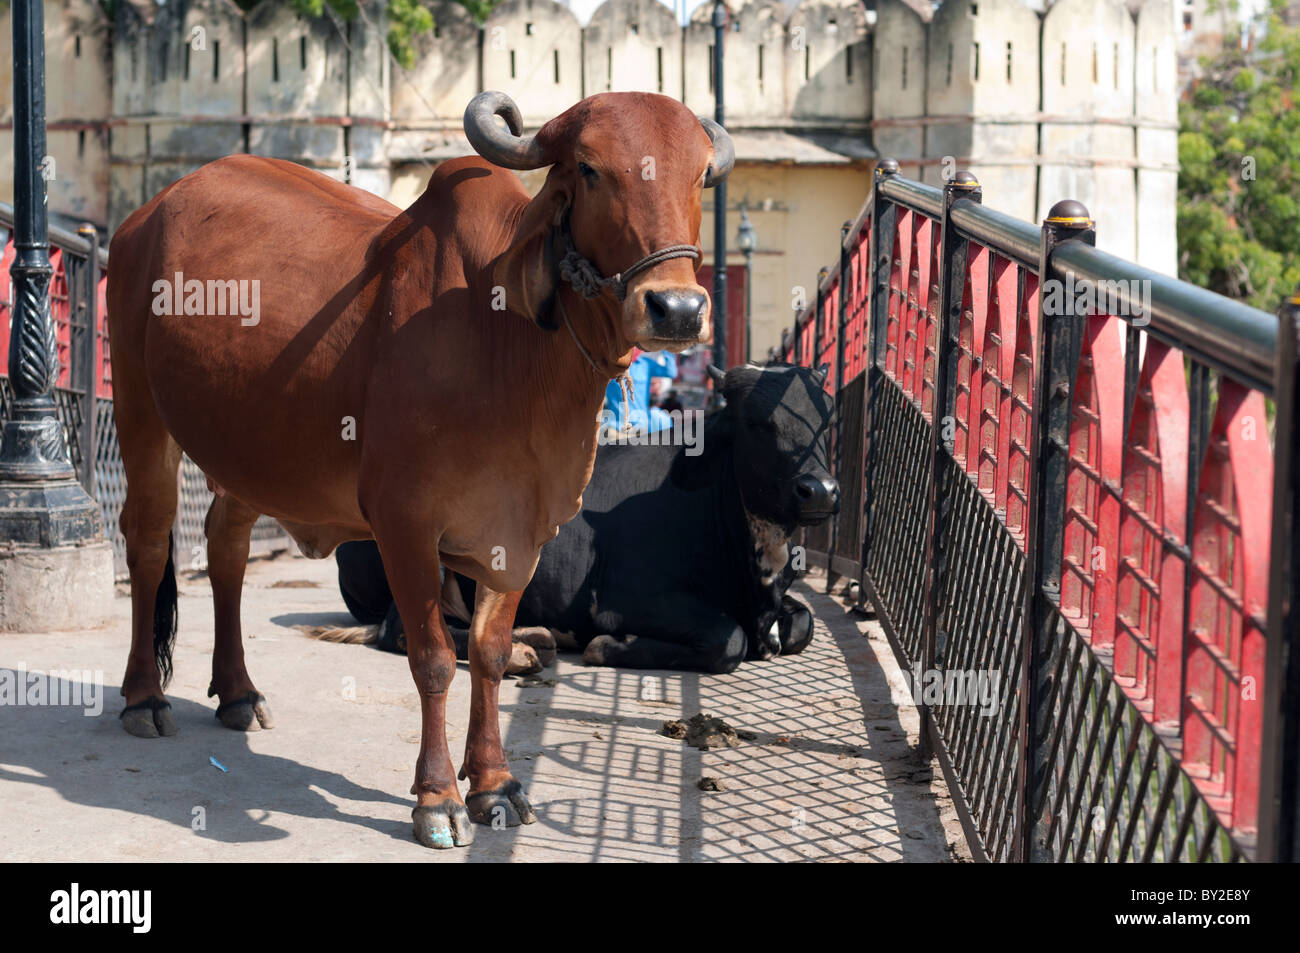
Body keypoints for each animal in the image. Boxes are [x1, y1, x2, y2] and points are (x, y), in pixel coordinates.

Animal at [105, 90, 734, 849]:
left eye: (700, 175)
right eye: (588, 169)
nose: (678, 308)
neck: (508, 344)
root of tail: (146, 213)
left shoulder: (518, 535)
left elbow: (490, 653)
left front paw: (494, 783)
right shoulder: (404, 522)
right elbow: (434, 658)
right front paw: (437, 797)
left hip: (249, 452)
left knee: (226, 547)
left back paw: (239, 692)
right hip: (141, 408)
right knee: (147, 541)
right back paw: (143, 698)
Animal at [330, 362, 839, 674]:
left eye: (827, 422)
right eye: (757, 424)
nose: (819, 490)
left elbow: (803, 624)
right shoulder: (624, 599)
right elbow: (727, 638)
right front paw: (608, 646)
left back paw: (533, 636)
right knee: (402, 631)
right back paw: (521, 654)